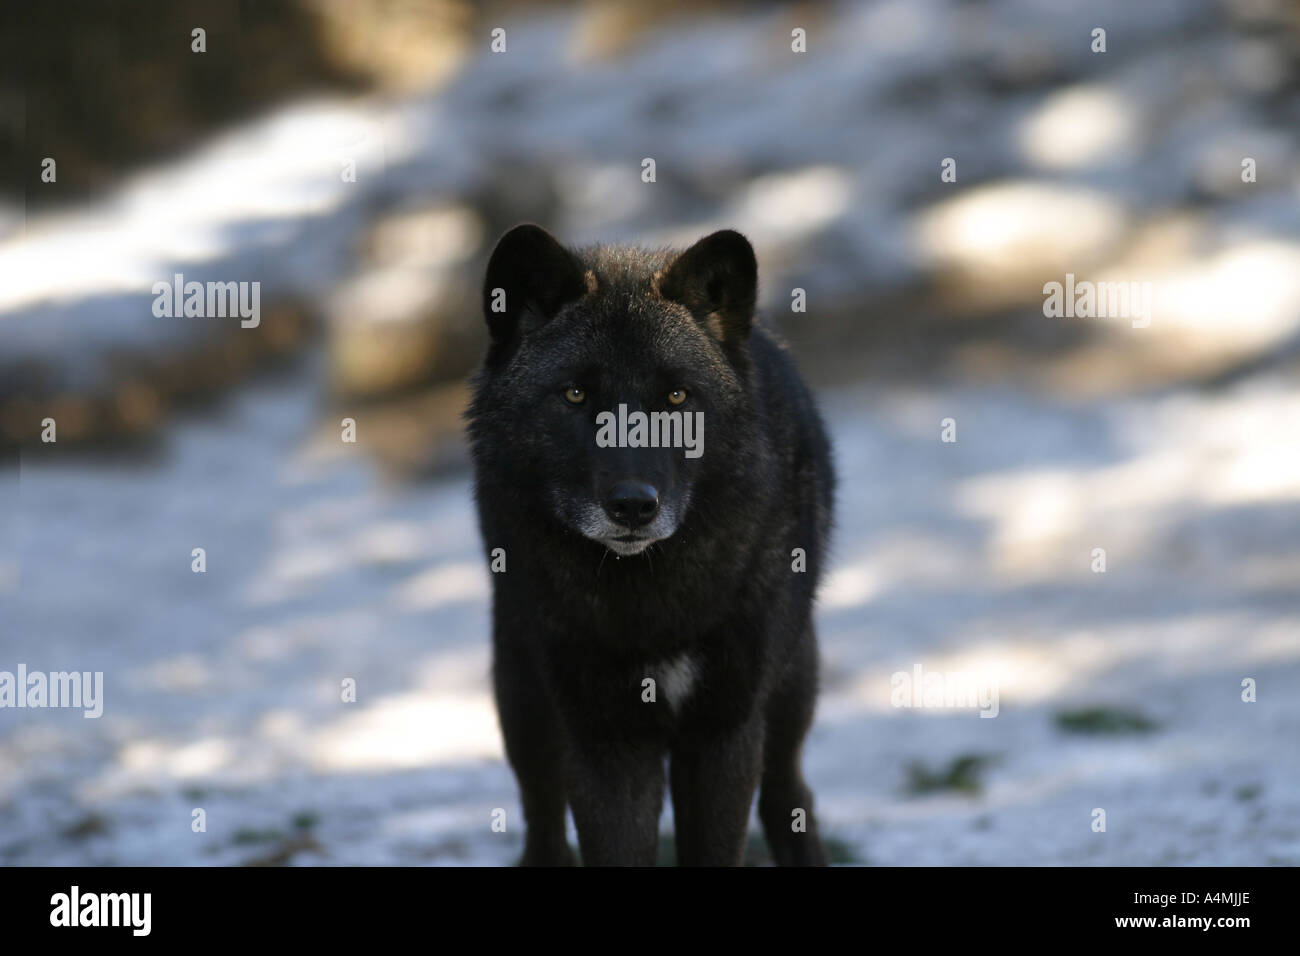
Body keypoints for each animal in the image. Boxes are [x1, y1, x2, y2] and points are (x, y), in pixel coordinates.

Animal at [467, 224, 835, 866]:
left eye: (677, 398)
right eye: (575, 394)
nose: (634, 506)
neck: (649, 603)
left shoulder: (723, 731)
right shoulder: (604, 739)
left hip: (786, 700)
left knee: (790, 798)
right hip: (523, 701)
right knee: (542, 823)